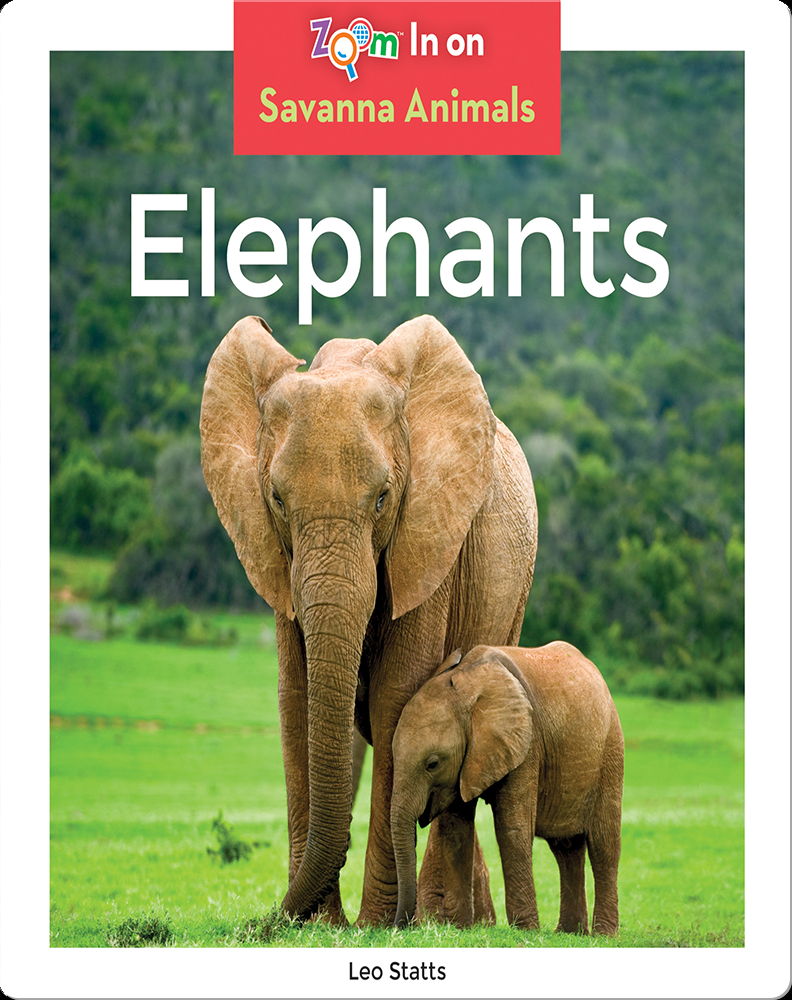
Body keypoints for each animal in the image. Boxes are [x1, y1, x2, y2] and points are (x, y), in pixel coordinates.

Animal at [200, 314, 537, 925]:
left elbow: (395, 698)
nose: (267, 921)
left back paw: (445, 920)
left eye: (382, 499)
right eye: (277, 499)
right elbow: (296, 699)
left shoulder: (427, 538)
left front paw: (377, 926)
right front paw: (319, 927)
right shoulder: (276, 560)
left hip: (513, 592)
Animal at [390, 642, 624, 935]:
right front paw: (460, 929)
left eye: (432, 764)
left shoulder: (527, 743)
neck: (467, 687)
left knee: (604, 844)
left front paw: (525, 931)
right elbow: (456, 830)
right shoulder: (467, 760)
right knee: (565, 847)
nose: (399, 927)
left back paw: (604, 935)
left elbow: (512, 828)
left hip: (610, 750)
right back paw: (569, 933)